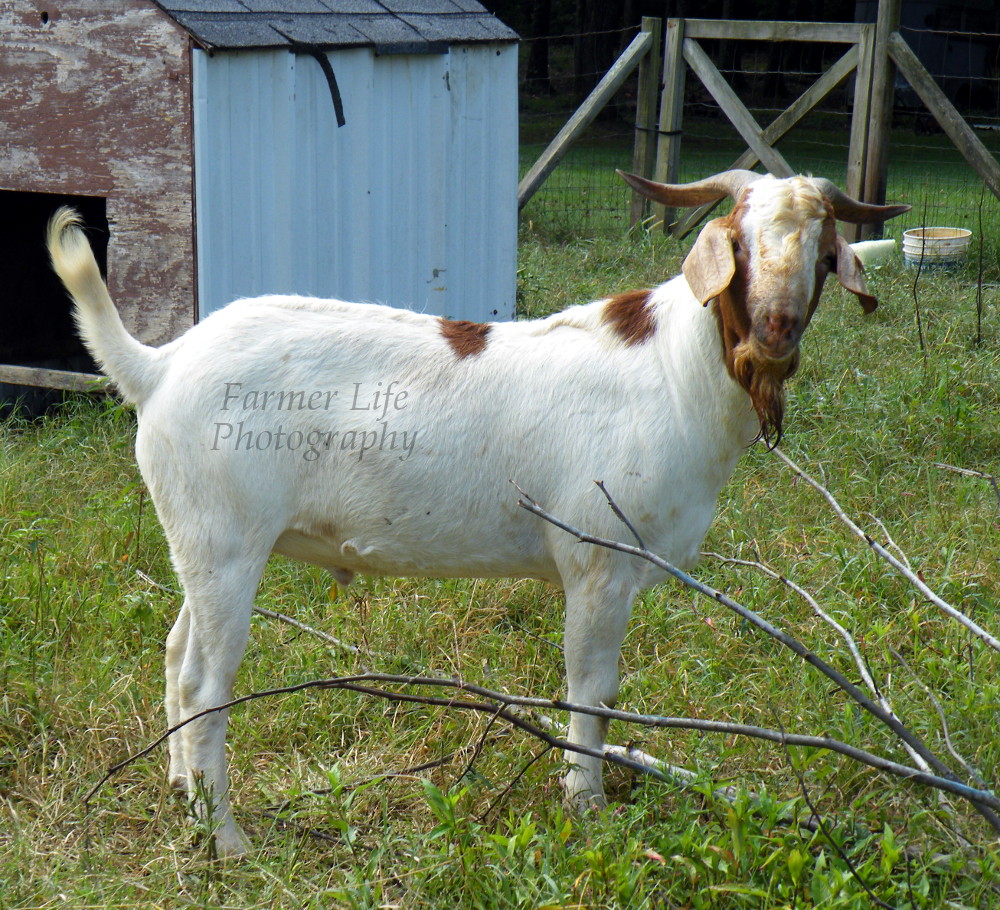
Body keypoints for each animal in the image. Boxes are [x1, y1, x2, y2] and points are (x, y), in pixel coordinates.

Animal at [47, 170, 908, 856]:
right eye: (739, 239)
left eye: (821, 248)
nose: (774, 334)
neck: (672, 369)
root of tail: (160, 365)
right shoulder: (597, 561)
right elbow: (590, 689)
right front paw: (587, 809)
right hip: (227, 541)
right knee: (205, 681)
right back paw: (226, 837)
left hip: (199, 540)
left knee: (174, 651)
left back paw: (180, 790)